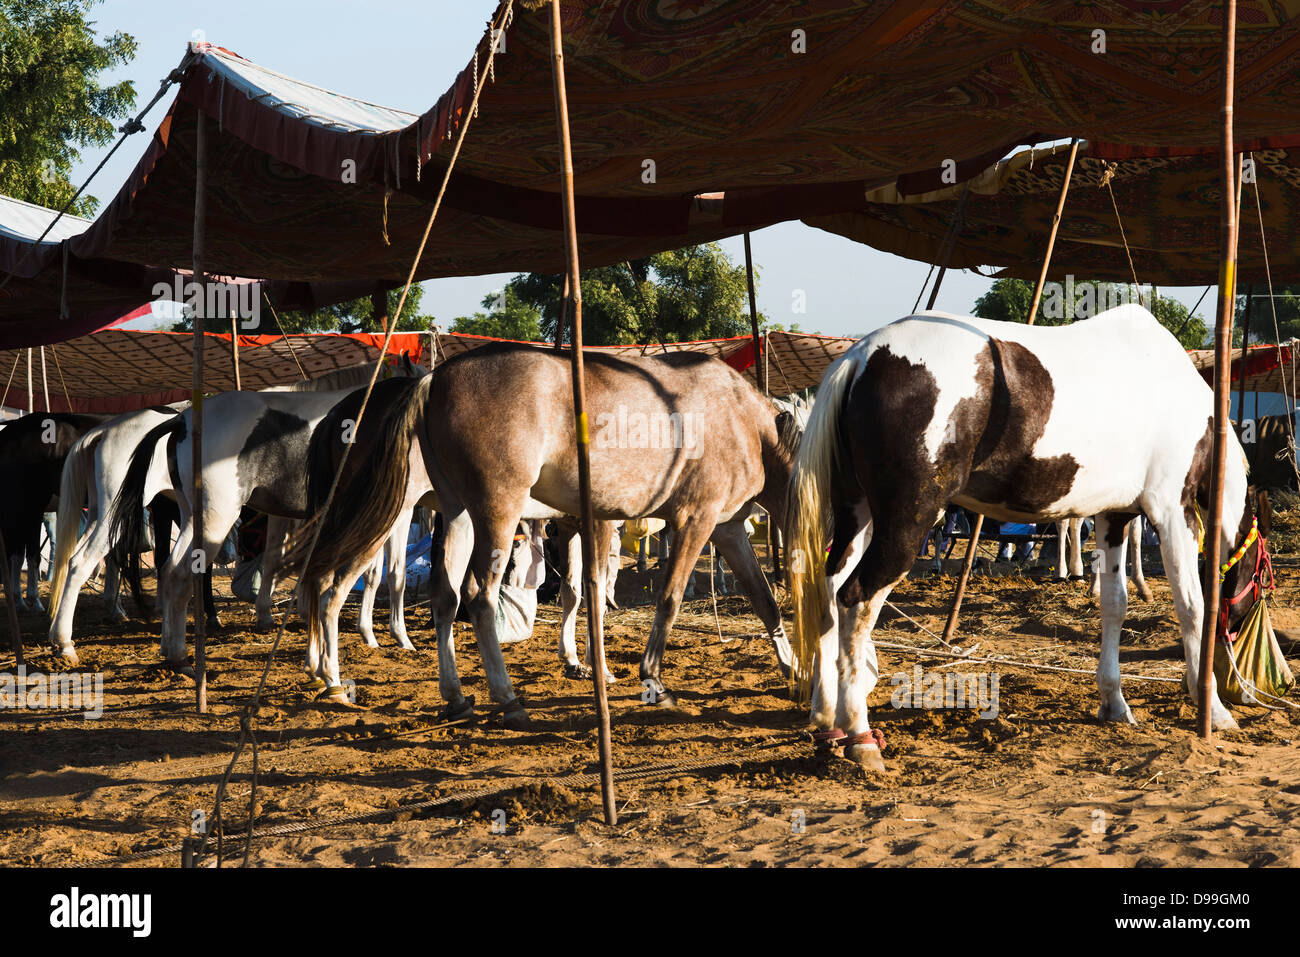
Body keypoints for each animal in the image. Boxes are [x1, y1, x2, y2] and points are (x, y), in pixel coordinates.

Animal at [108, 357, 424, 665]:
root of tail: (183, 420)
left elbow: (285, 560)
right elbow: (384, 572)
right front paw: (387, 636)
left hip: (189, 517)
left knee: (171, 571)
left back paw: (170, 645)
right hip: (214, 519)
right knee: (181, 575)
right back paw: (179, 653)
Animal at [284, 343, 800, 725]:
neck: (741, 419)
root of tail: (433, 381)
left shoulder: (727, 528)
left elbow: (763, 599)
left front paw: (793, 667)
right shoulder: (691, 520)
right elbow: (658, 598)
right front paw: (647, 678)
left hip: (457, 514)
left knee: (440, 596)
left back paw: (453, 694)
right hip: (482, 513)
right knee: (455, 592)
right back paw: (498, 697)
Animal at [786, 305, 1271, 771]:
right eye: (1262, 575)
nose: (1243, 631)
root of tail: (861, 356)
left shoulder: (1115, 517)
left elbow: (1114, 605)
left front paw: (1114, 702)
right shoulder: (1172, 511)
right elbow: (1193, 607)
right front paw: (1214, 708)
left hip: (858, 516)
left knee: (828, 592)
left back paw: (826, 716)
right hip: (907, 522)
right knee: (856, 600)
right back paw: (860, 735)